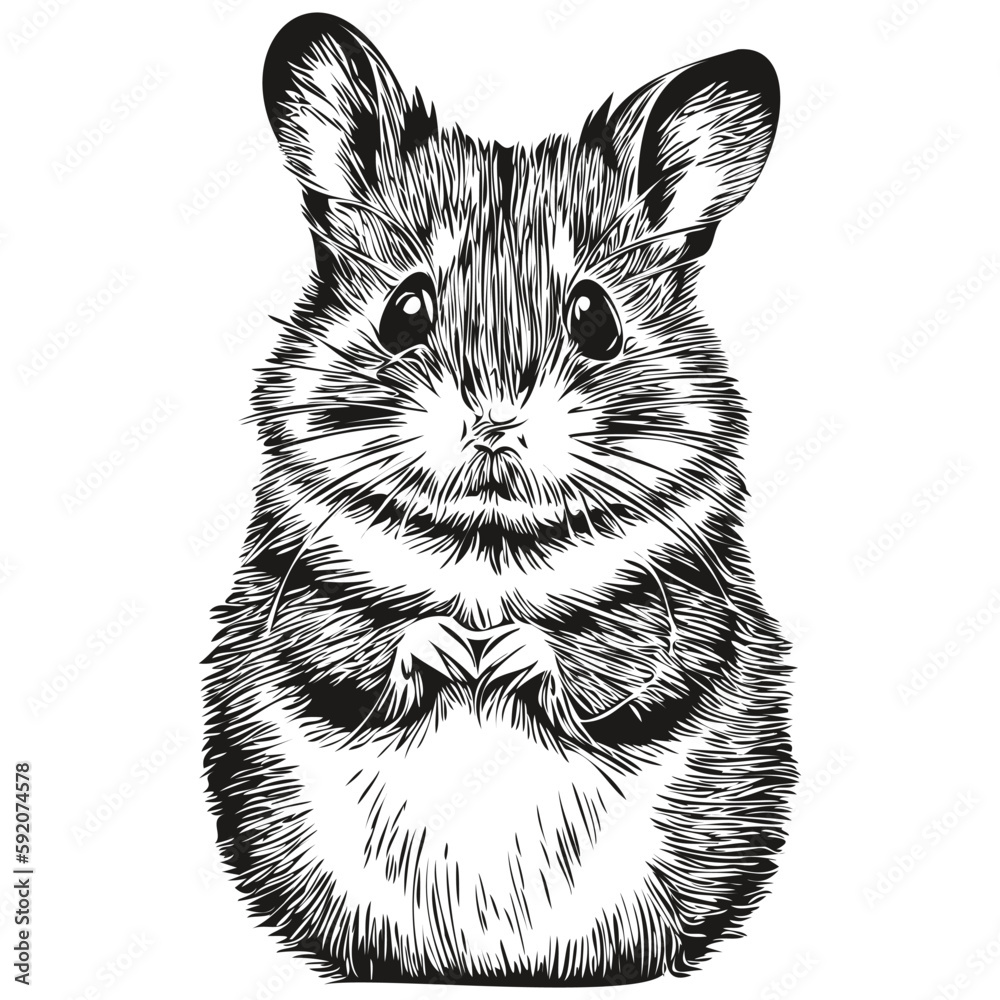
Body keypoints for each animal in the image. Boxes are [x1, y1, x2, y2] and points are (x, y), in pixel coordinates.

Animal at [204, 12, 795, 986]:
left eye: (596, 318)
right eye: (405, 309)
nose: (495, 422)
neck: (489, 545)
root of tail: (487, 968)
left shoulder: (688, 615)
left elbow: (614, 660)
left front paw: (506, 655)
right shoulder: (298, 600)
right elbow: (354, 647)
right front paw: (451, 648)